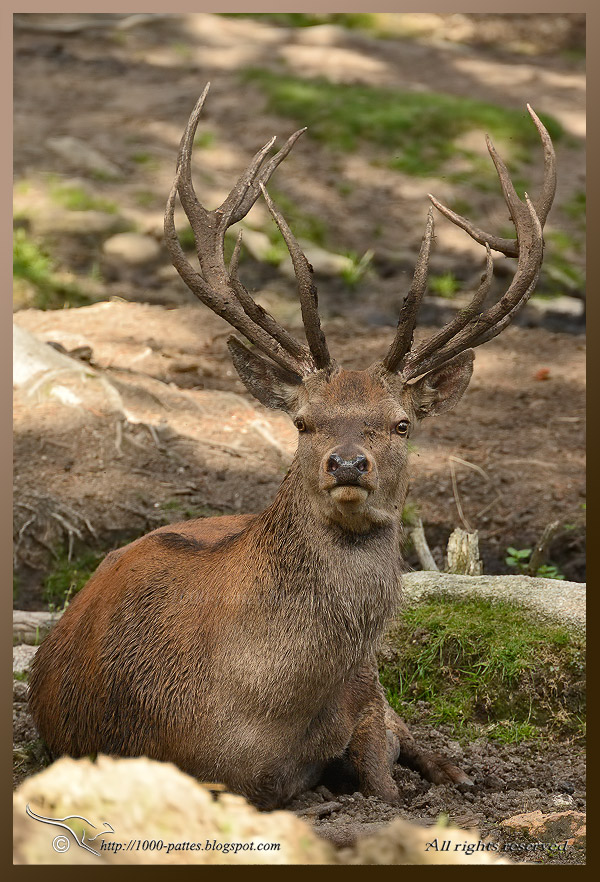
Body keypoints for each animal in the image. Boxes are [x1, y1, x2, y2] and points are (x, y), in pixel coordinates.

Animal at [28, 84, 555, 811]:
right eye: (303, 422)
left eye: (401, 424)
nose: (347, 463)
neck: (263, 712)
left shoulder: (365, 698)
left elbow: (383, 777)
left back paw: (460, 774)